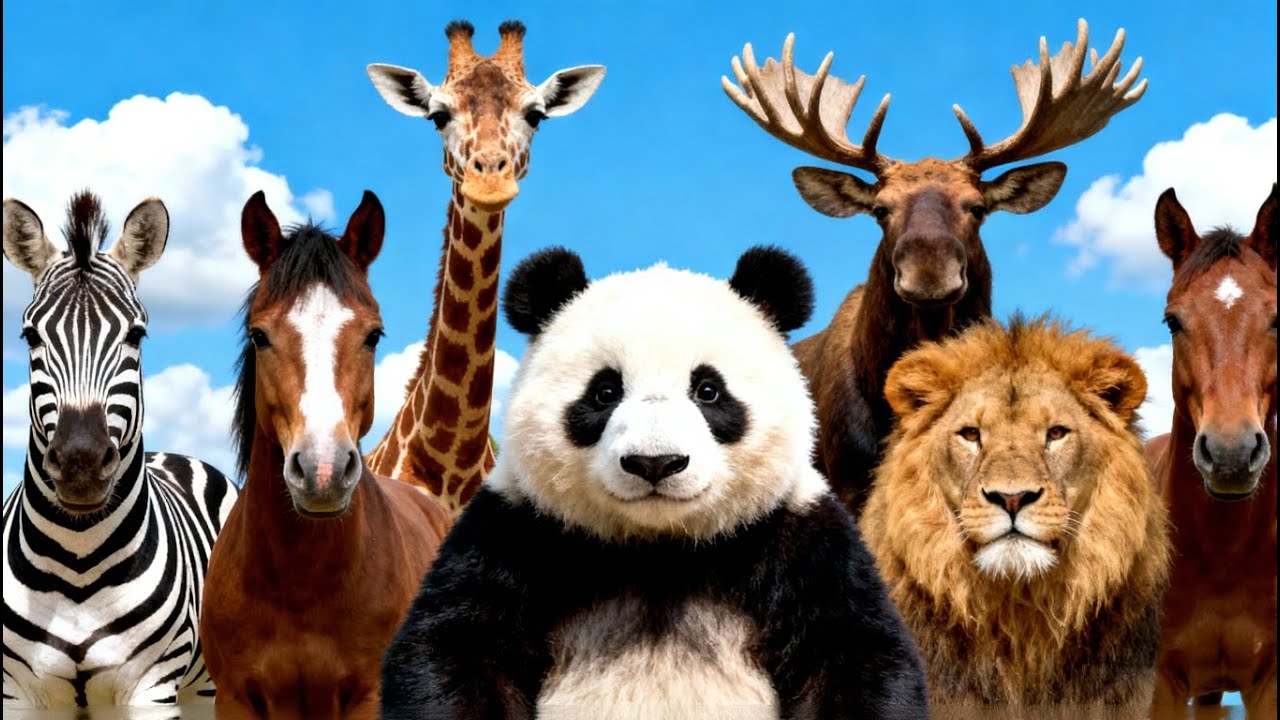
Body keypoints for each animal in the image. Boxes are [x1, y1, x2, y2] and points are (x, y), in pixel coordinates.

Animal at [200, 190, 450, 719]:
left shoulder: (368, 698)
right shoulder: (234, 699)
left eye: (374, 335)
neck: (299, 583)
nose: (323, 471)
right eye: (259, 335)